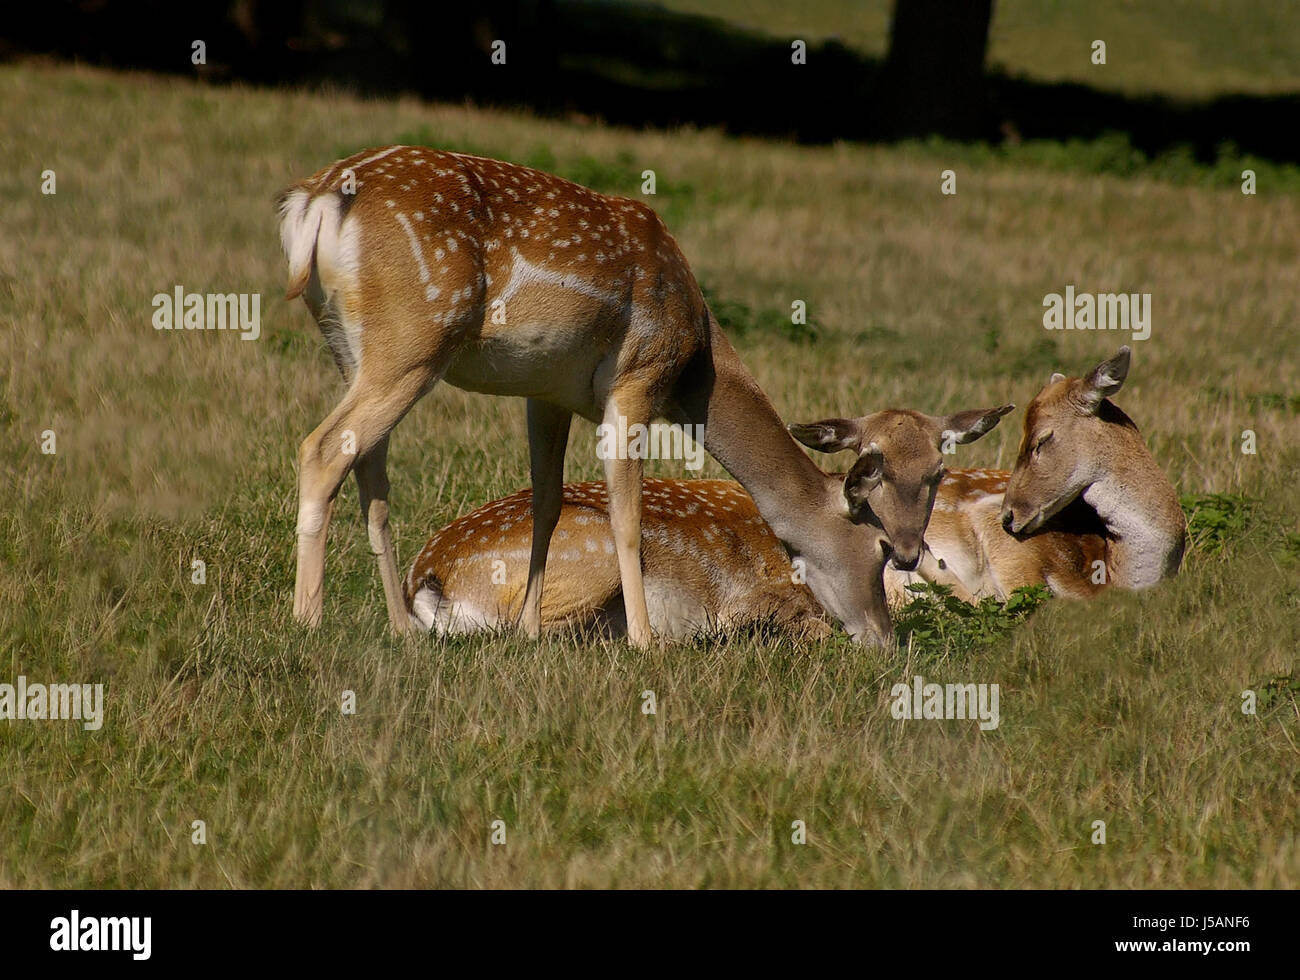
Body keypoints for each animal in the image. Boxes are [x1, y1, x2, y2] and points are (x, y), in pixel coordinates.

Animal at [278, 144, 929, 646]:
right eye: (880, 549)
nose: (884, 639)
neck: (694, 363)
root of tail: (314, 201)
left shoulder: (546, 391)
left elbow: (547, 501)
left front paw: (529, 630)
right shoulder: (636, 378)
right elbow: (626, 514)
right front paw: (643, 640)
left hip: (349, 345)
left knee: (370, 470)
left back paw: (399, 628)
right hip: (414, 336)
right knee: (321, 448)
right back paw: (307, 622)